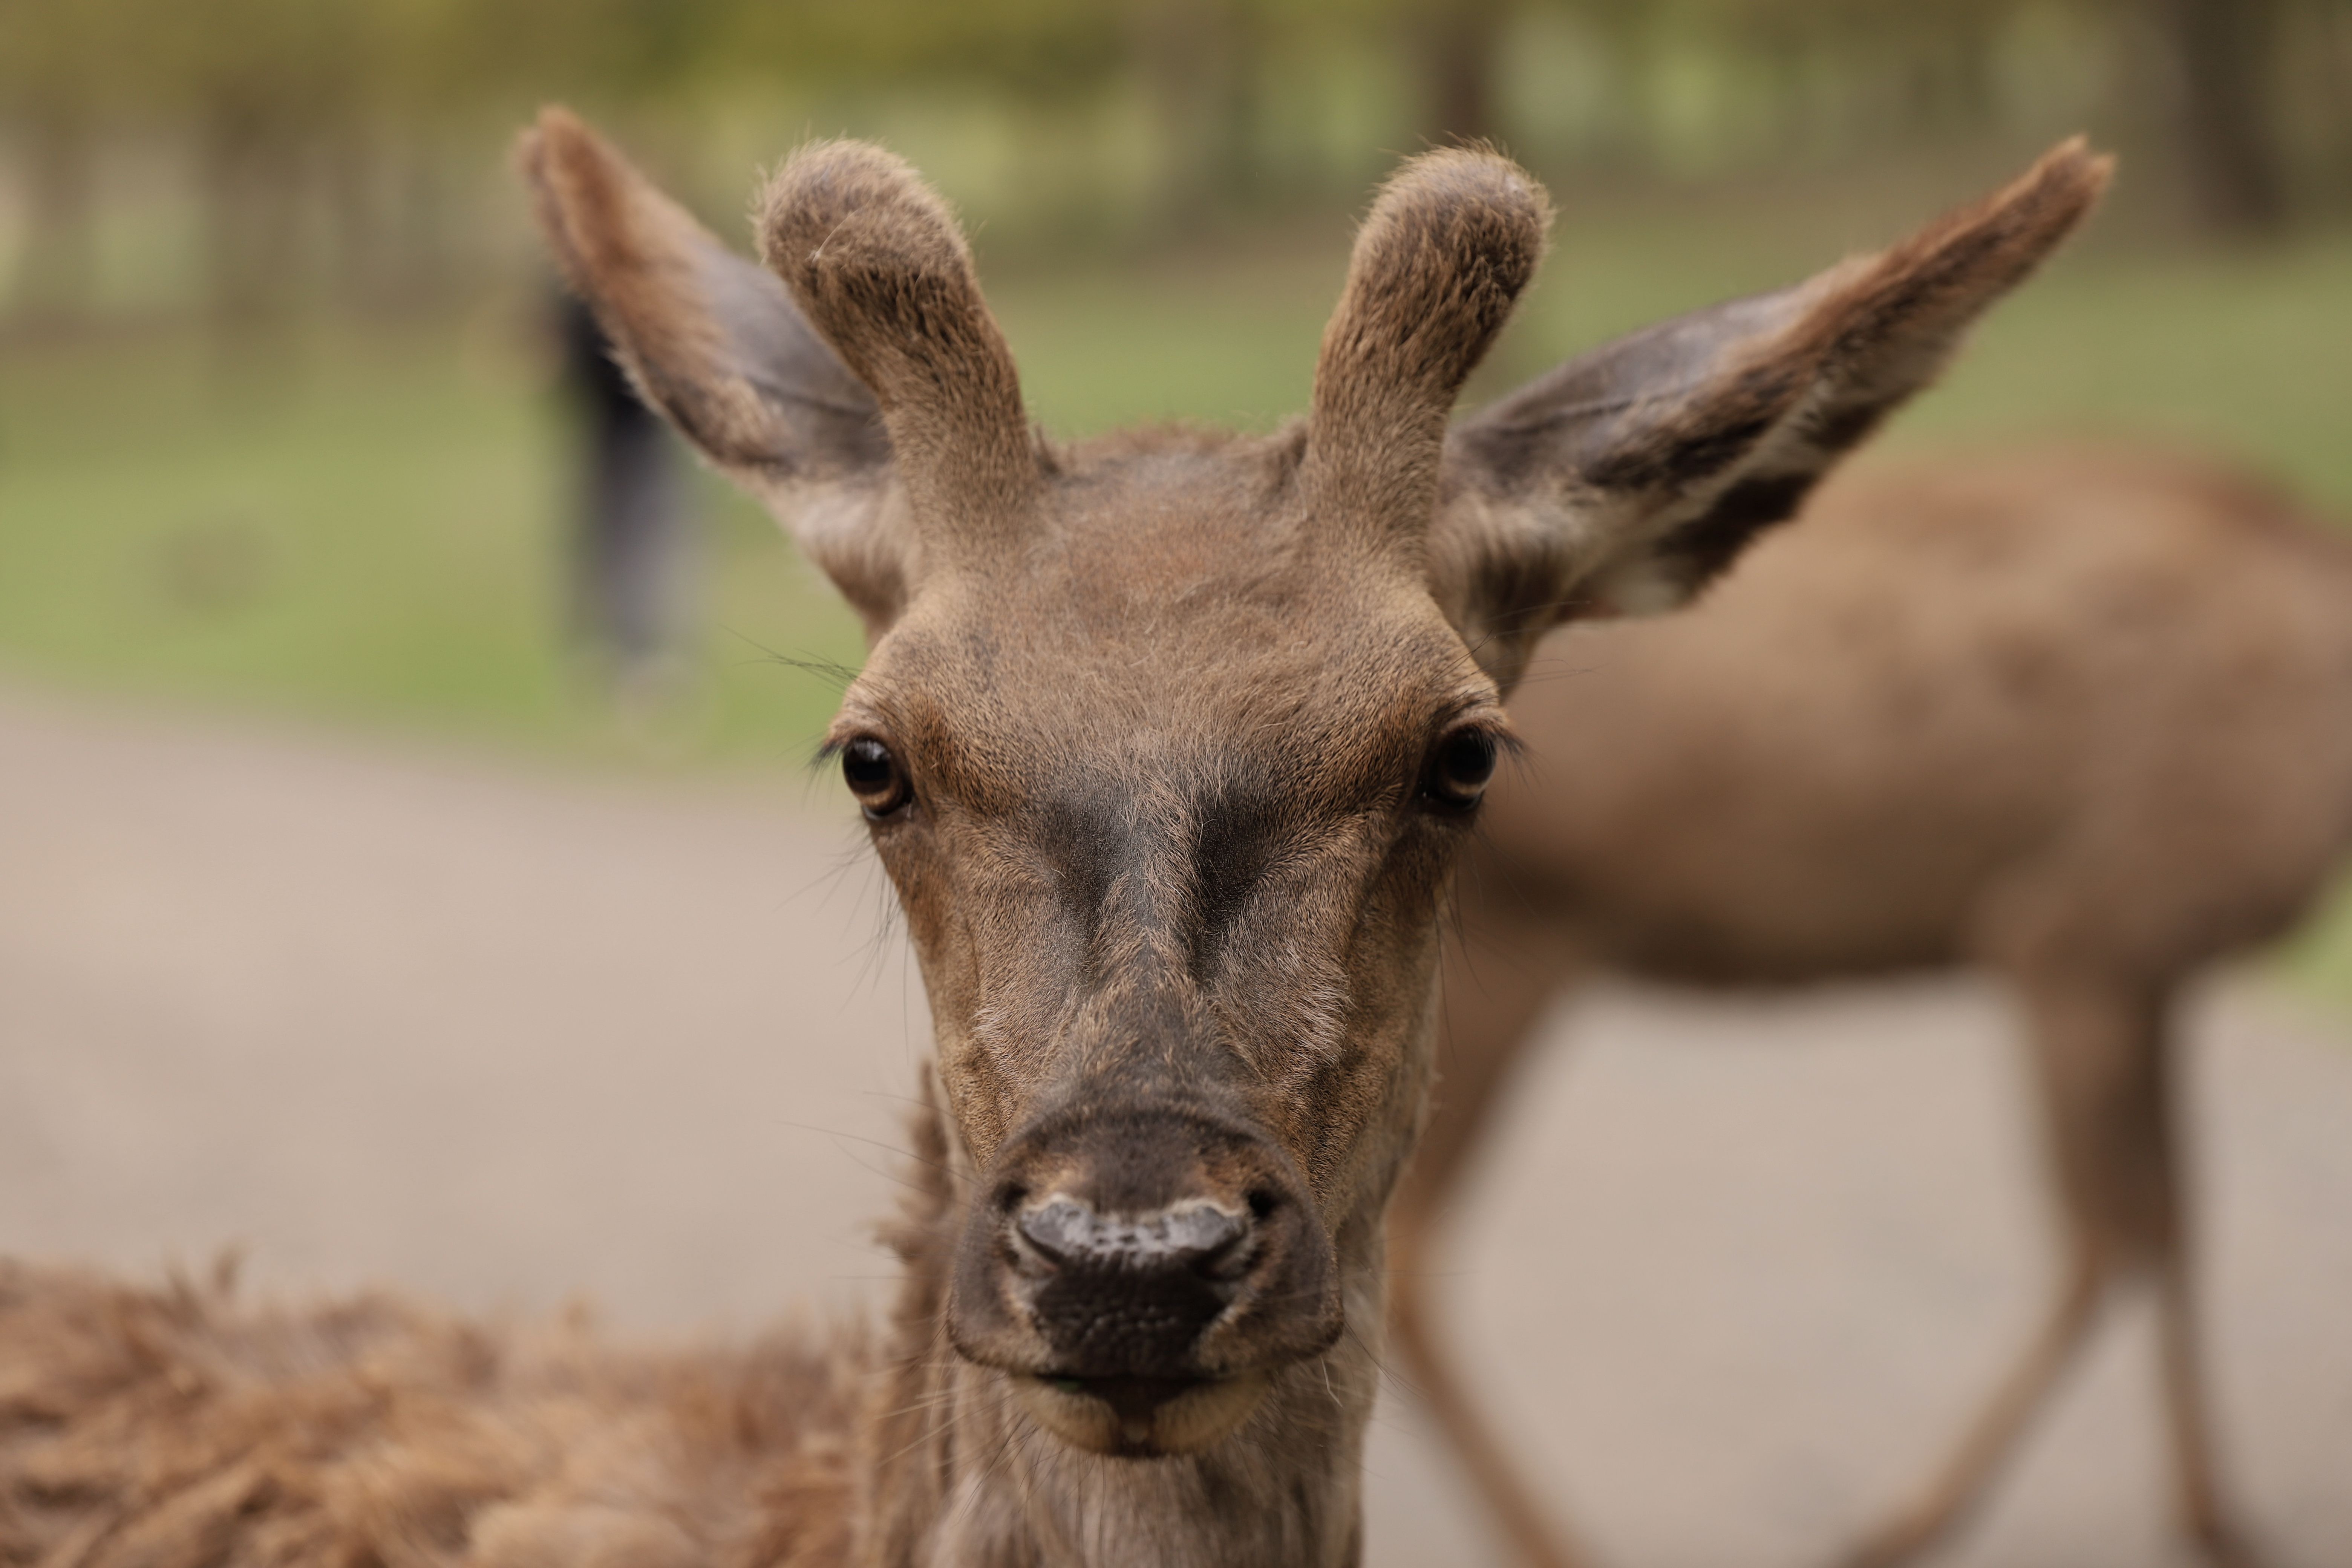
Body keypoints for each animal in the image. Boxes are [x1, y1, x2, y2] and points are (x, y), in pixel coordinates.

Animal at [1390, 444, 2349, 1568]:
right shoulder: (2080, 924)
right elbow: (2111, 1231)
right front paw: (1894, 1526)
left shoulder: (2161, 965)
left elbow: (2178, 1214)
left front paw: (2220, 1519)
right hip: (1517, 944)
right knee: (1407, 1256)